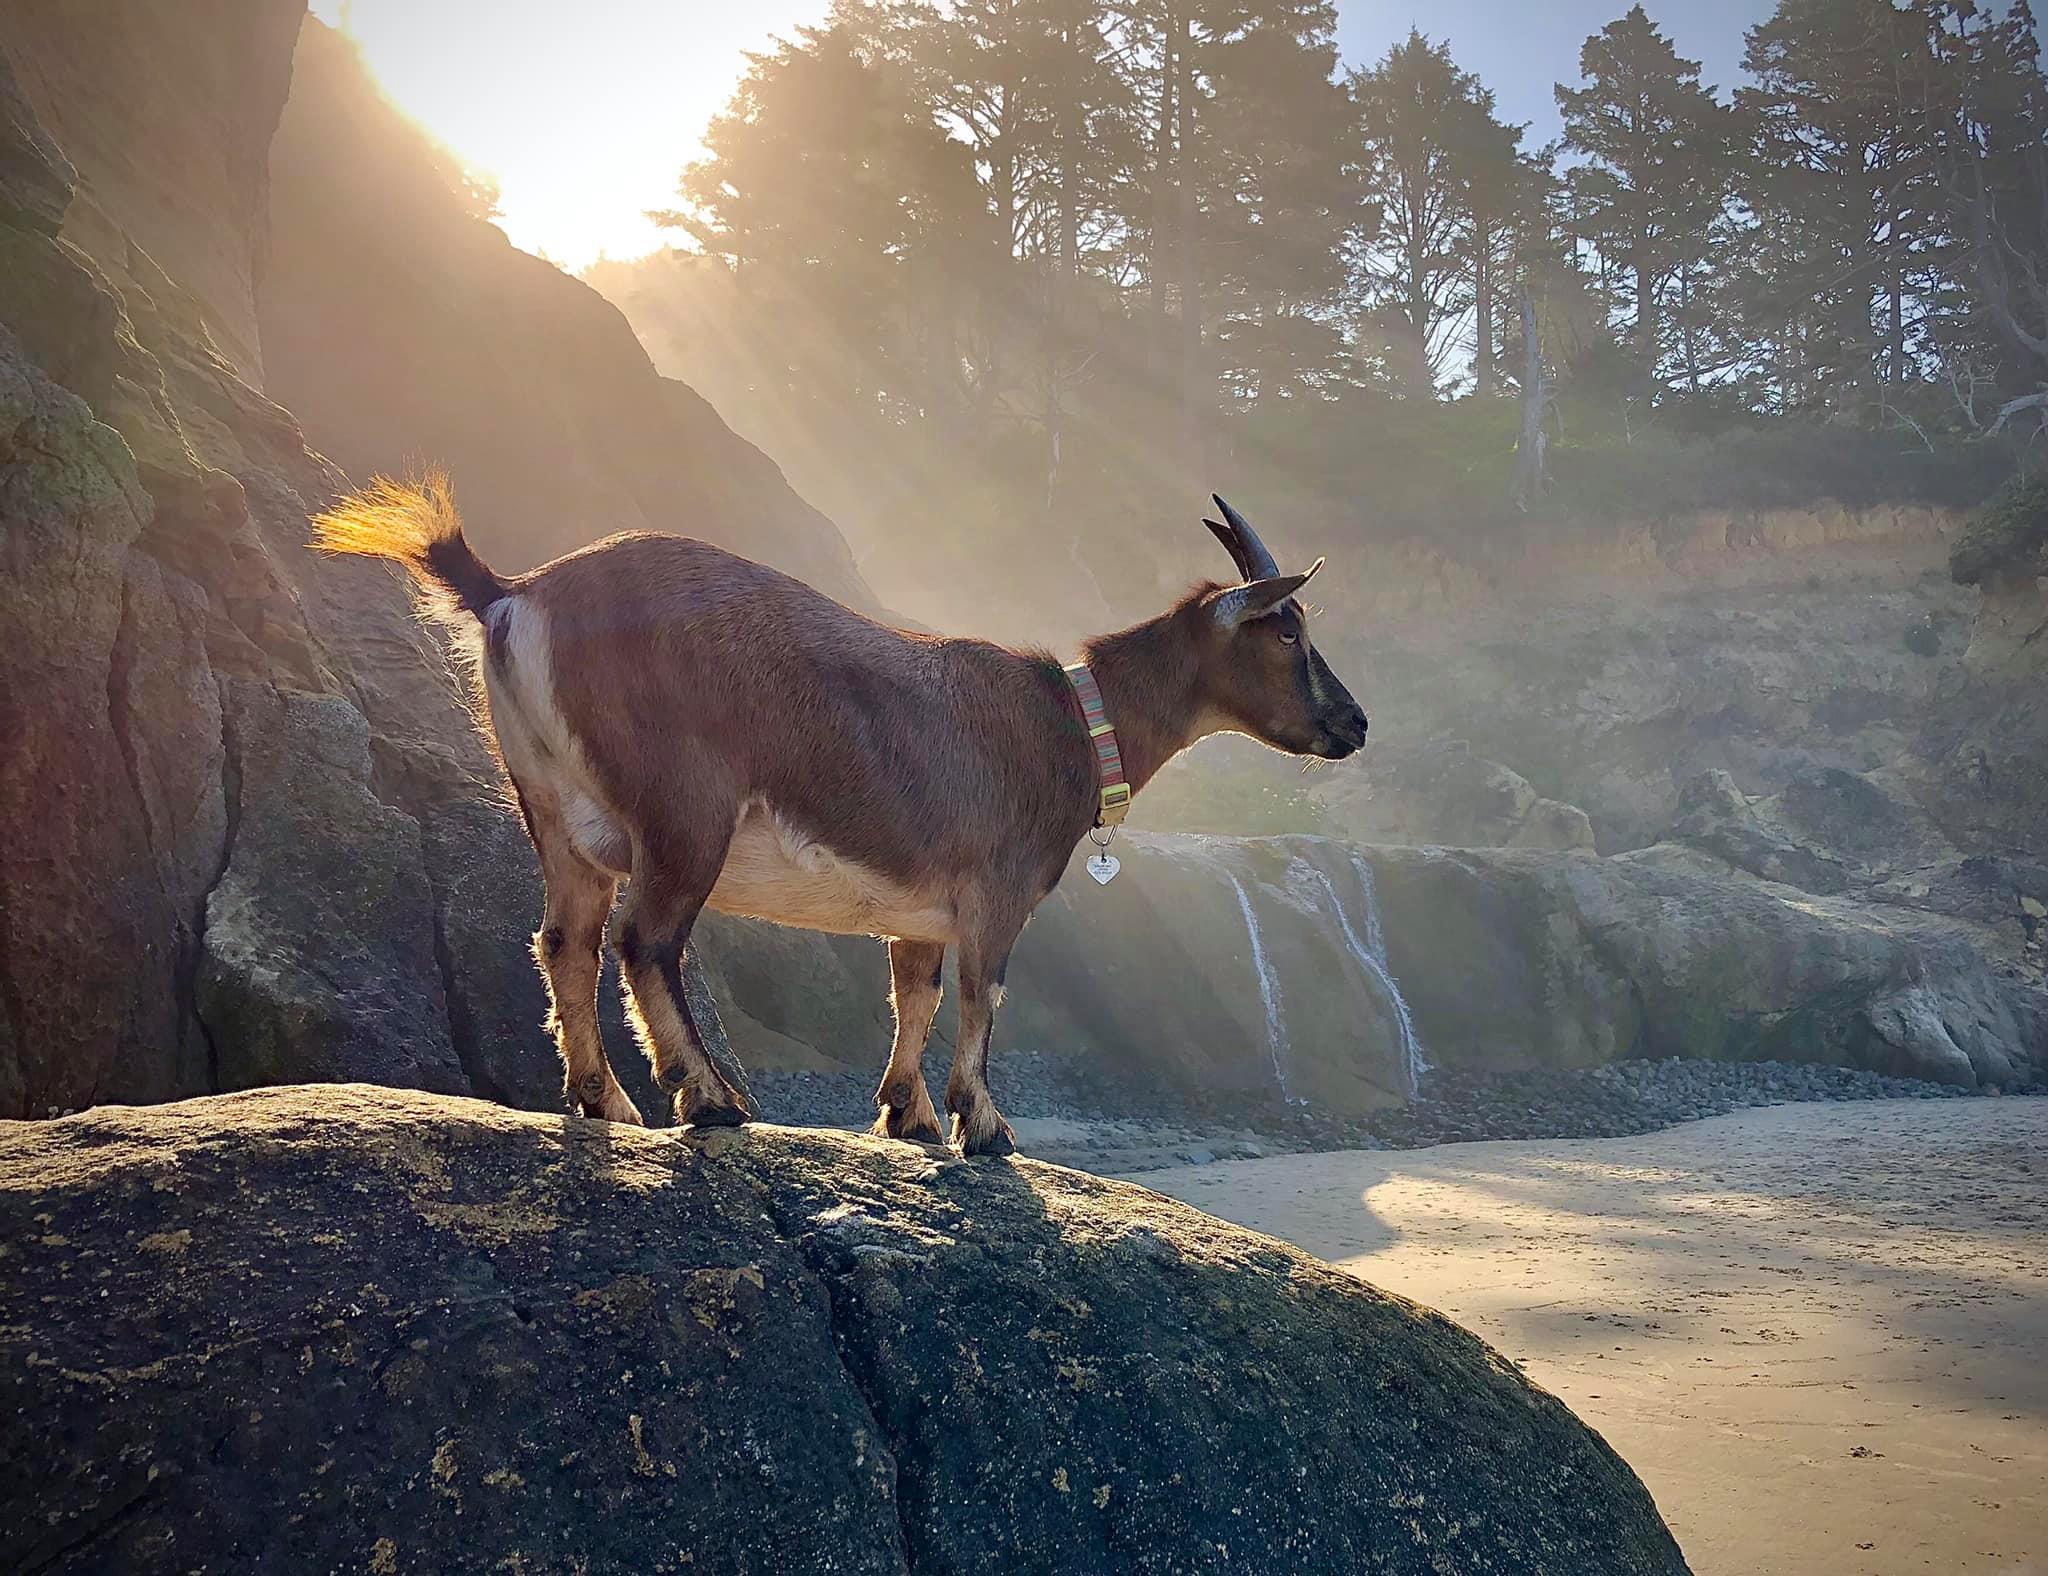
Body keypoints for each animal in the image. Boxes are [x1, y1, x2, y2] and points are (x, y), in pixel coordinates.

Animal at [312, 478, 1368, 1154]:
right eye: (1287, 629)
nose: (1354, 724)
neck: (1072, 722)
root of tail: (513, 594)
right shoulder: (996, 892)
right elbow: (984, 997)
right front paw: (986, 1128)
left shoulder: (922, 909)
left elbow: (916, 994)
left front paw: (907, 1115)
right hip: (683, 810)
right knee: (646, 941)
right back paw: (710, 1098)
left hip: (555, 813)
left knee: (564, 941)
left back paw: (605, 1103)